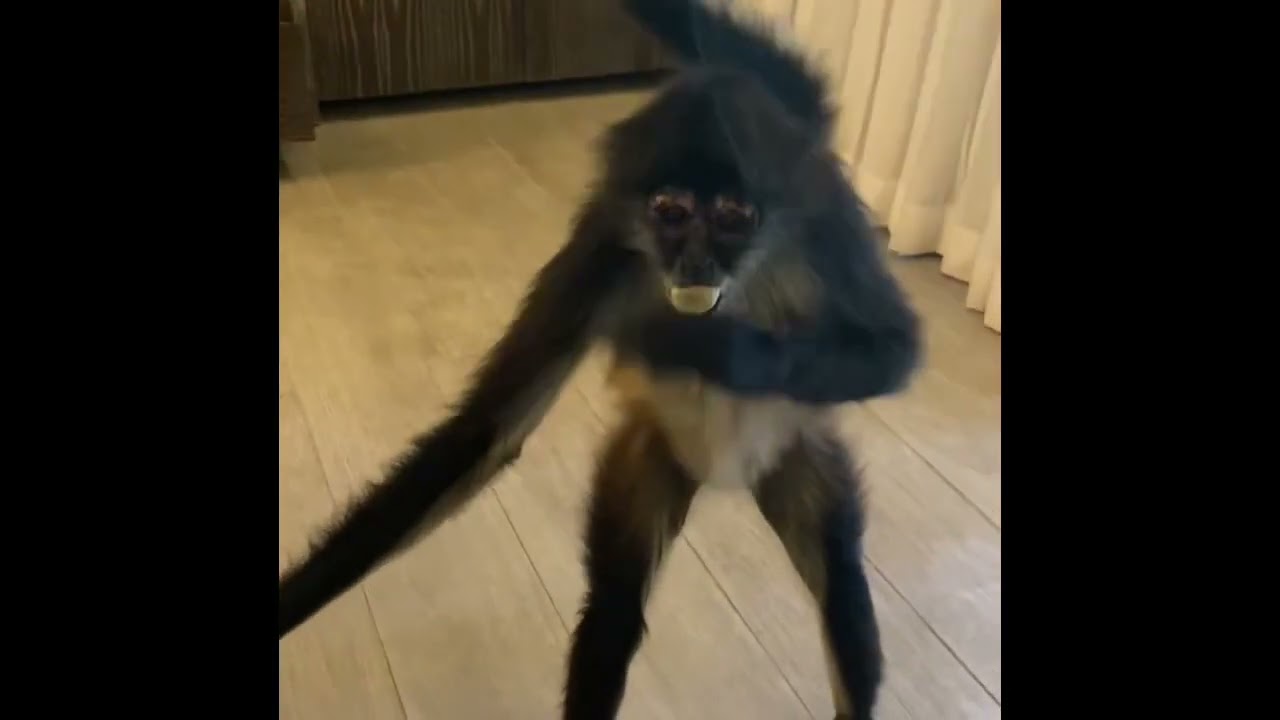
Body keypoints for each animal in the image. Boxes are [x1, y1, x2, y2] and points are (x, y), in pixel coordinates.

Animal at [278, 1, 923, 718]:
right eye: (671, 212)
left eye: (732, 217)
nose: (694, 262)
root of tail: (724, 477)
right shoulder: (603, 249)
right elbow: (485, 434)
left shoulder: (824, 226)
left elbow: (894, 354)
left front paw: (713, 348)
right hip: (652, 456)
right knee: (612, 613)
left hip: (797, 449)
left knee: (843, 591)